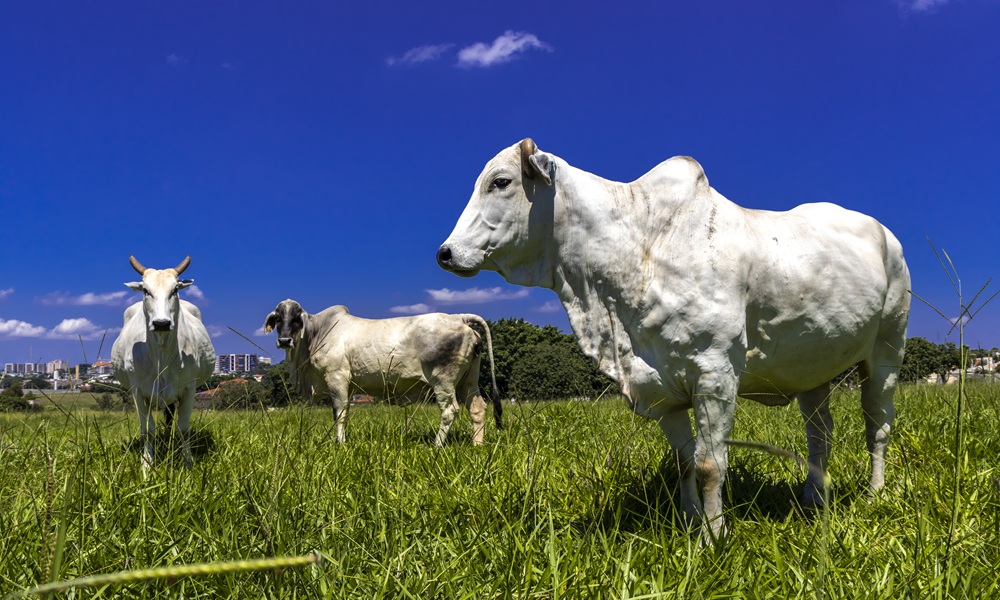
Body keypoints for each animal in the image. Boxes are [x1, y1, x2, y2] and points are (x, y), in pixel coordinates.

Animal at [111, 255, 216, 474]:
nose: (161, 323)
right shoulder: (138, 392)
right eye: (145, 290)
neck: (160, 354)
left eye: (174, 289)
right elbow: (147, 431)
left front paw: (187, 463)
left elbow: (183, 428)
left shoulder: (189, 389)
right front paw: (146, 464)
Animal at [263, 299, 501, 446]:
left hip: (443, 381)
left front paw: (340, 443)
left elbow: (339, 413)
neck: (318, 333)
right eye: (278, 318)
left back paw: (436, 444)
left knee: (450, 410)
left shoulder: (337, 378)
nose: (284, 340)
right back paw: (477, 444)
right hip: (468, 381)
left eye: (296, 318)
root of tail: (459, 317)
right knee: (477, 408)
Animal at [437, 138, 910, 541]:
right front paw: (689, 521)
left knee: (877, 426)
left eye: (501, 181)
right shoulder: (659, 388)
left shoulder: (716, 374)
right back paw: (813, 497)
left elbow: (709, 464)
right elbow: (685, 462)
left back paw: (875, 493)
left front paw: (714, 537)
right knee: (819, 433)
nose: (445, 252)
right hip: (813, 370)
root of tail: (886, 235)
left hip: (887, 351)